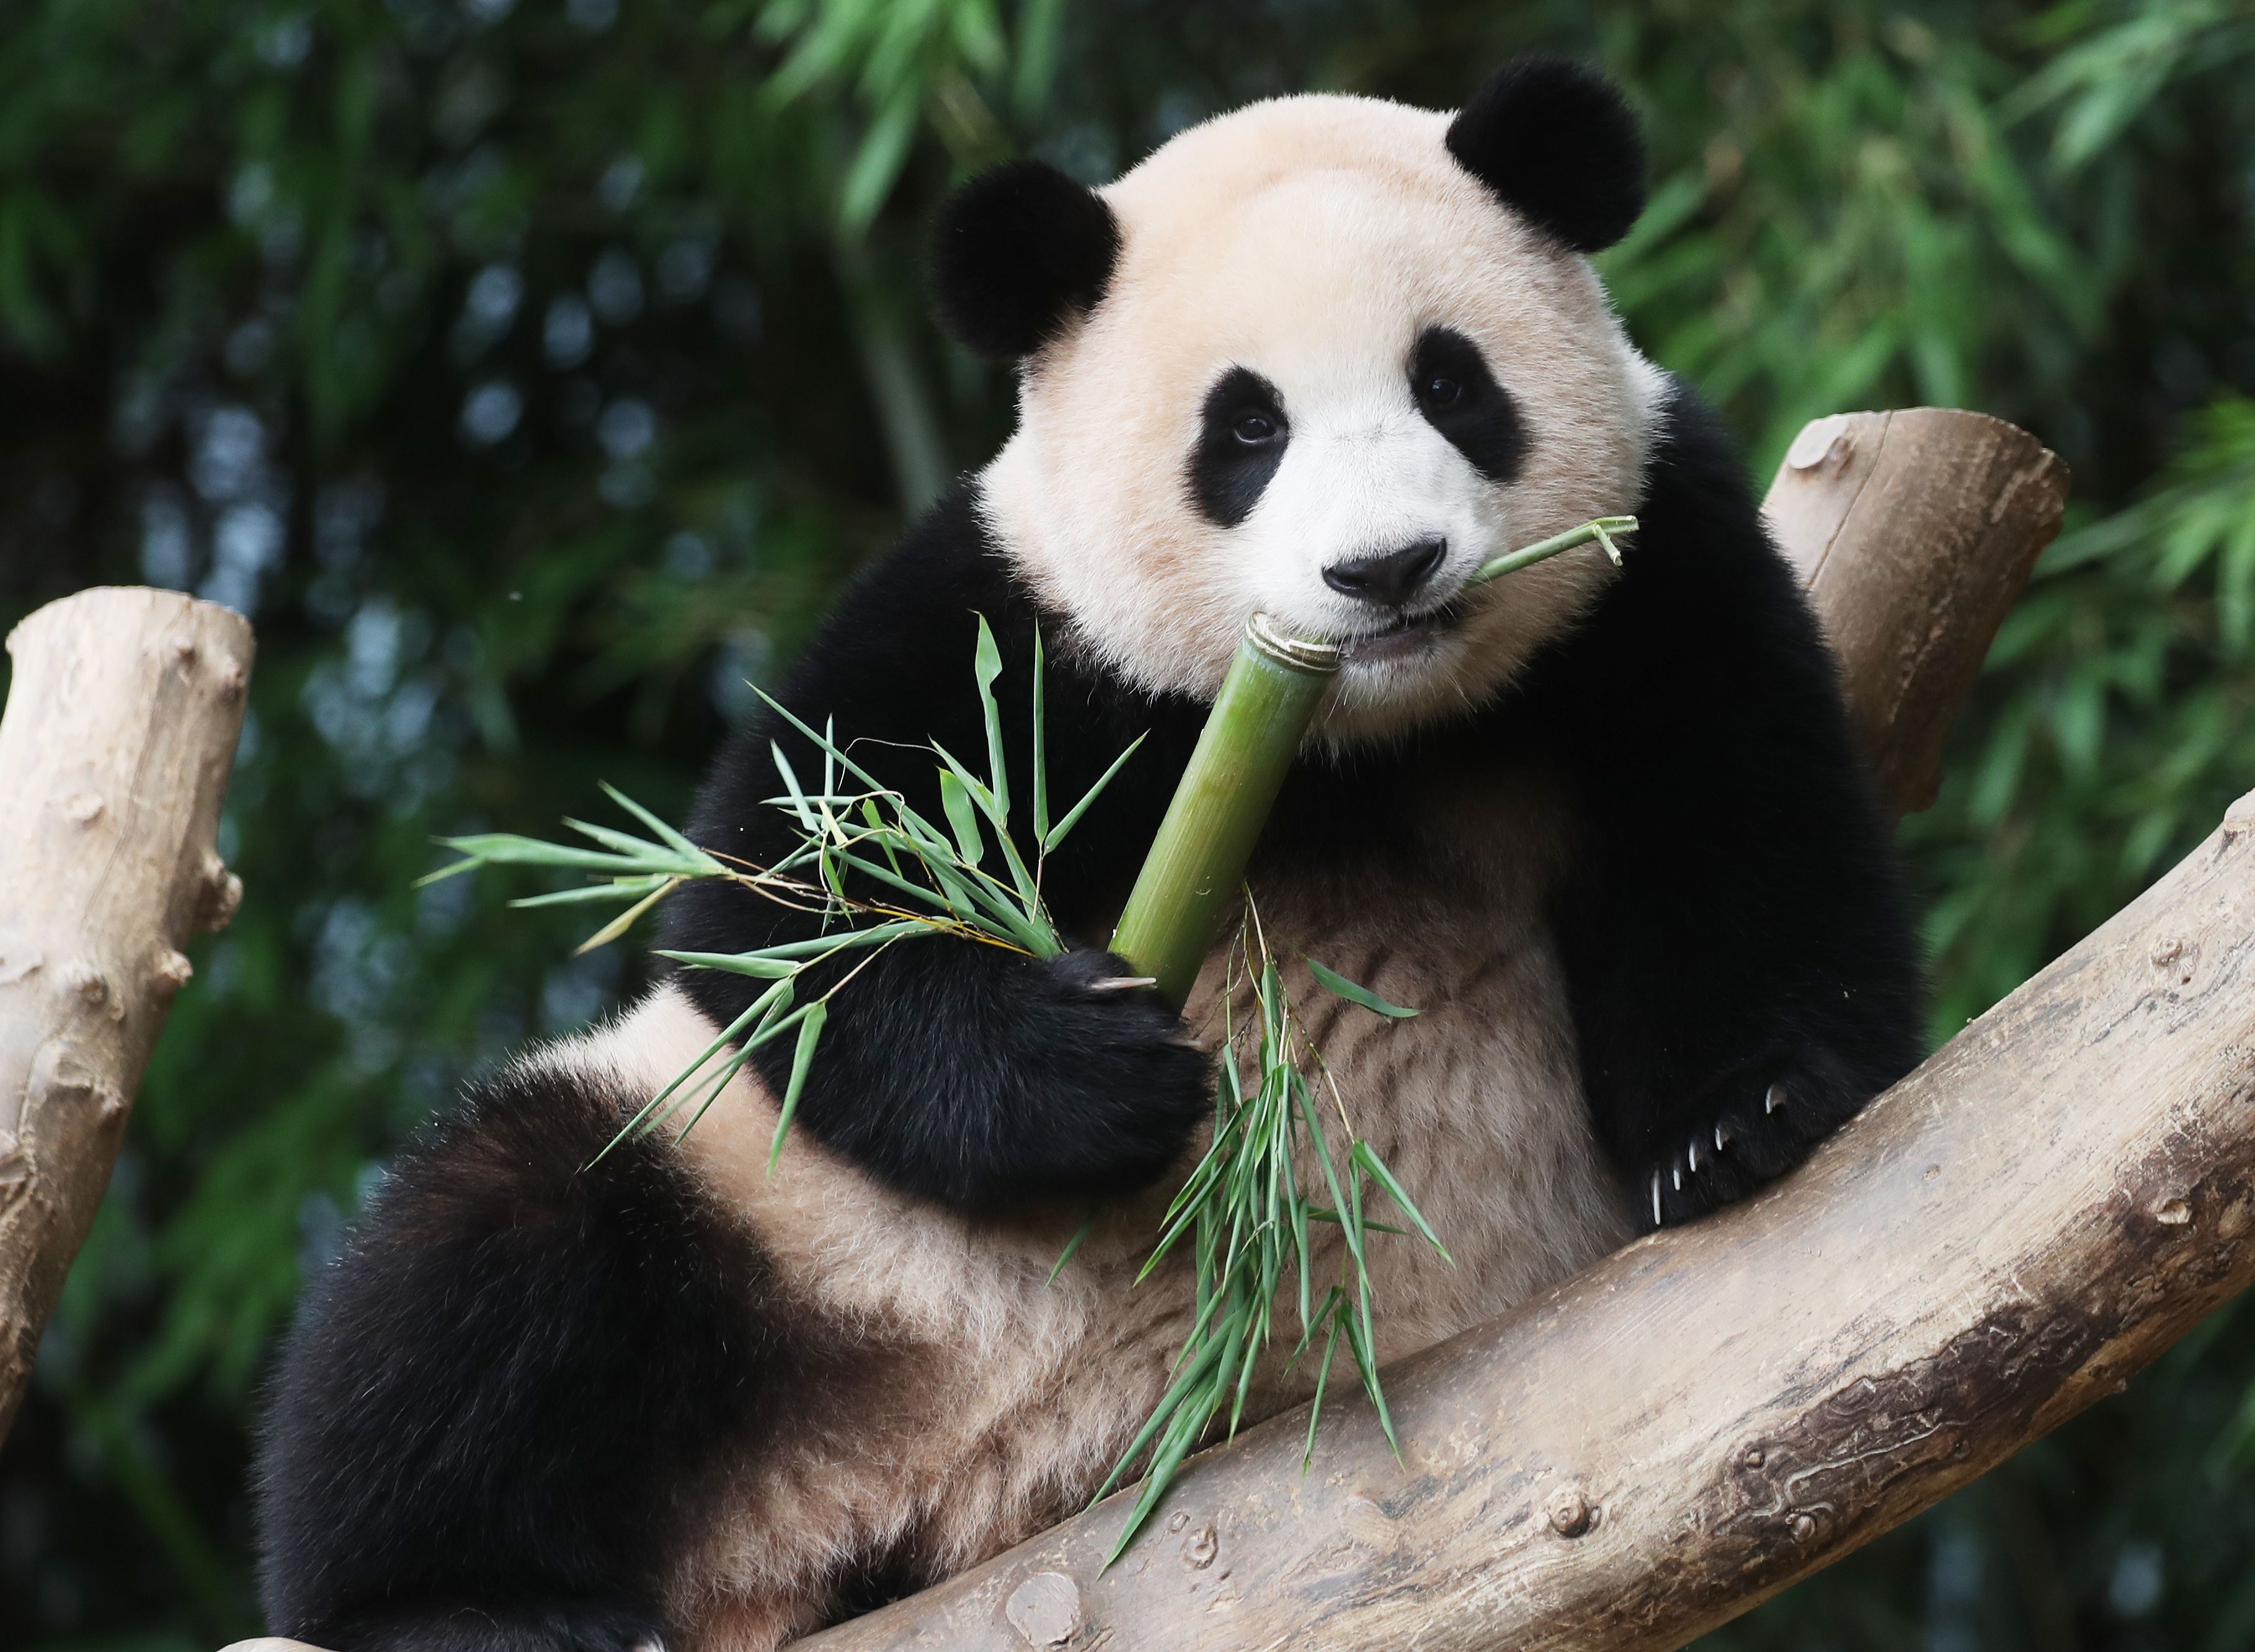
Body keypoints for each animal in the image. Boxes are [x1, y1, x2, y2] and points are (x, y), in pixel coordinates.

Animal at [255, 58, 1921, 1652]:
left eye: (1453, 383)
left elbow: (1749, 831)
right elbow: (784, 900)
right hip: (741, 1191)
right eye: (1244, 429)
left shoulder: (1653, 580)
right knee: (479, 1273)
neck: (1360, 740)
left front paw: (1738, 1121)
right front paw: (1087, 1070)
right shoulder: (1009, 625)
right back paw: (457, 1603)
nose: (1384, 571)